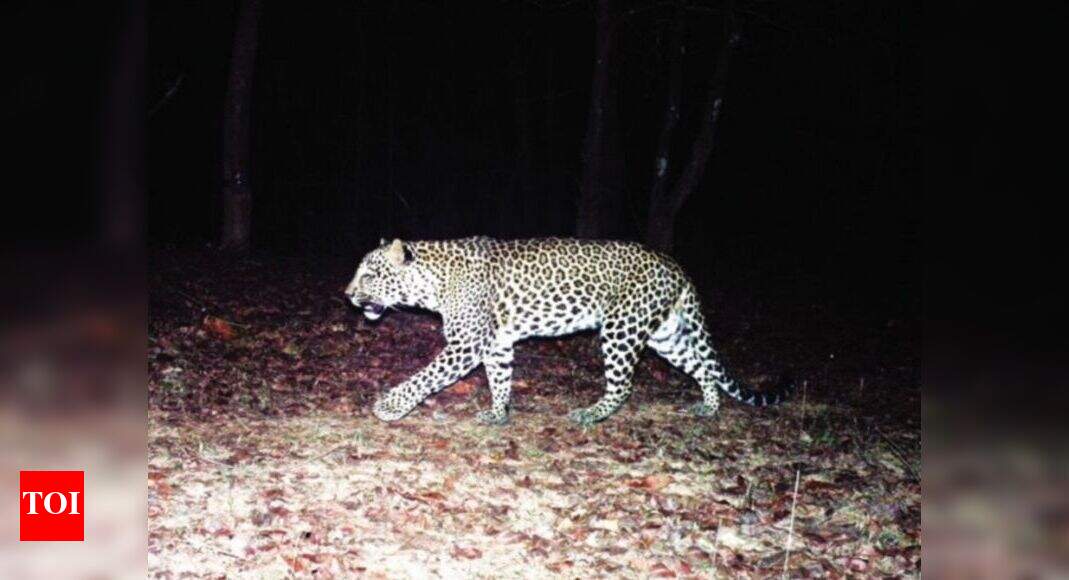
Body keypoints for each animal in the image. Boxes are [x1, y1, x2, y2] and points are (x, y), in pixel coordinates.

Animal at [345, 237, 793, 425]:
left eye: (369, 273)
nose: (347, 294)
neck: (433, 281)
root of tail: (675, 265)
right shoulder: (497, 343)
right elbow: (500, 379)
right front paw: (498, 413)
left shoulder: (466, 343)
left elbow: (424, 378)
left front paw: (389, 406)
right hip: (666, 334)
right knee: (702, 367)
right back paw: (709, 408)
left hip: (621, 327)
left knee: (623, 386)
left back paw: (590, 414)